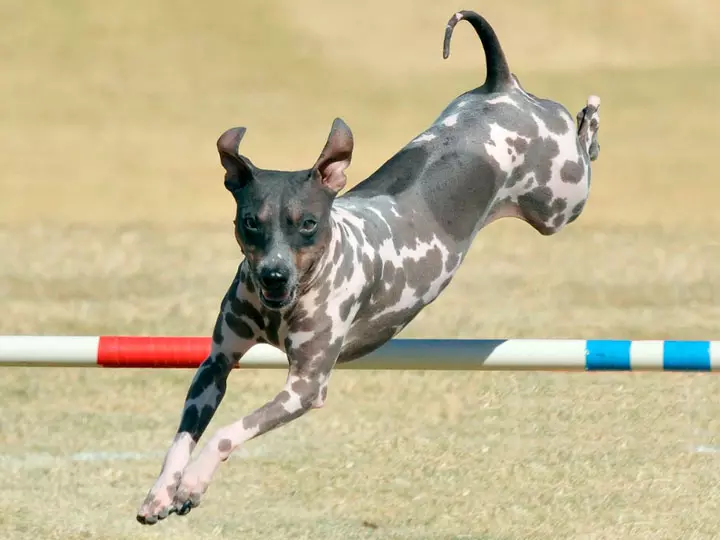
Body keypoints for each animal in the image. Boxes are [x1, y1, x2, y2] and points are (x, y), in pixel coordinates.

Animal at [138, 8, 600, 524]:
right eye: (250, 223)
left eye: (308, 224)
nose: (274, 275)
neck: (290, 300)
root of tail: (499, 87)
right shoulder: (216, 364)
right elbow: (183, 437)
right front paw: (163, 490)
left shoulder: (305, 387)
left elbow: (225, 433)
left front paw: (192, 483)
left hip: (561, 204)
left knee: (583, 145)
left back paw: (590, 118)